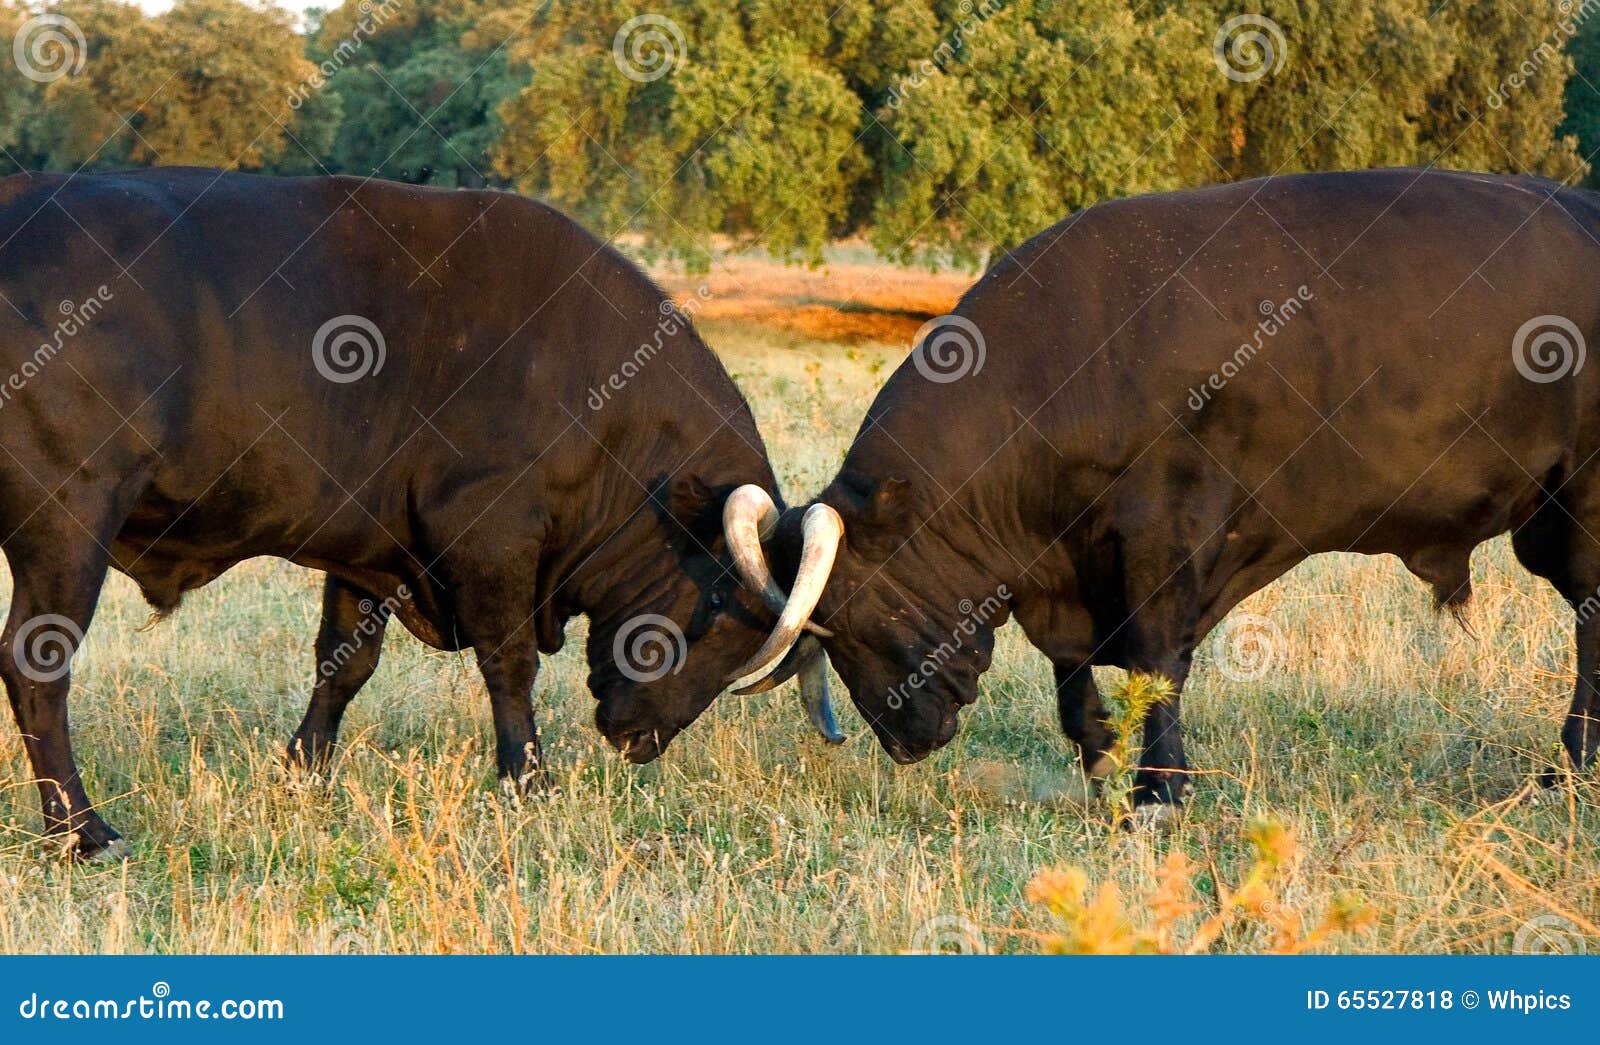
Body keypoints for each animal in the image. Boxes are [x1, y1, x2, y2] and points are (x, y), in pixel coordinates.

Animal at [0, 167, 835, 859]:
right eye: (722, 609)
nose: (642, 738)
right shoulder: (493, 540)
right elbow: (510, 664)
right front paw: (529, 780)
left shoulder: (363, 549)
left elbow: (343, 664)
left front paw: (303, 770)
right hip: (69, 527)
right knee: (35, 666)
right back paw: (84, 831)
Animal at [725, 168, 1600, 820]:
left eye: (854, 612)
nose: (904, 739)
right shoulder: (1065, 563)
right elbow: (1072, 675)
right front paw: (1098, 755)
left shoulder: (1165, 534)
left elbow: (1156, 659)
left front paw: (1160, 790)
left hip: (1583, 500)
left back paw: (1571, 766)